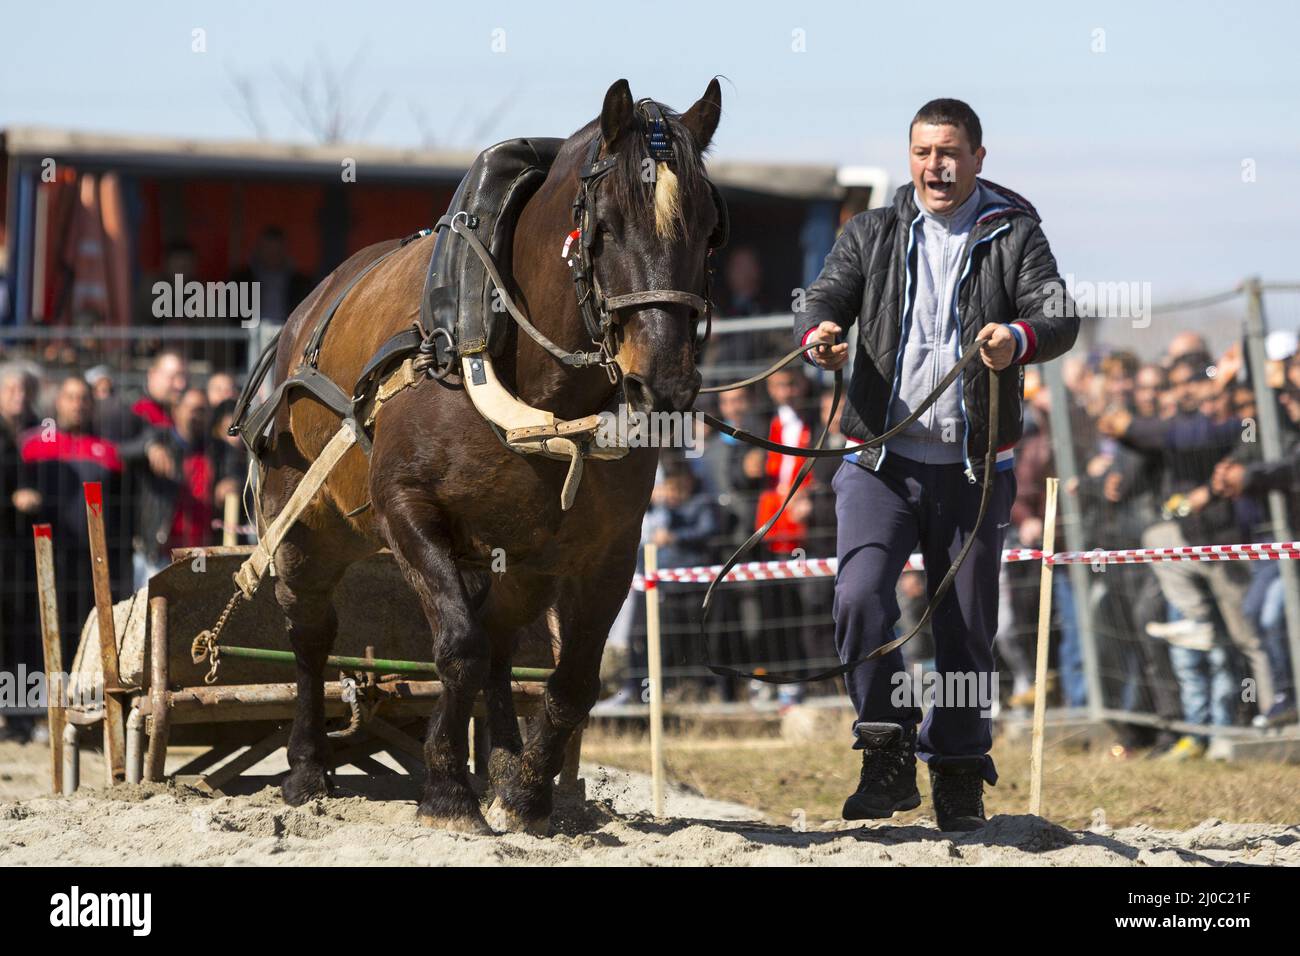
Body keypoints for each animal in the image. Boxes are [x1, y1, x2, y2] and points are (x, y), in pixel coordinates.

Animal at [257, 78, 724, 833]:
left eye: (711, 228)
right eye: (604, 224)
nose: (664, 387)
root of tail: (303, 317)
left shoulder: (608, 548)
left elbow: (570, 681)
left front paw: (528, 793)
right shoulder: (407, 511)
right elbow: (459, 648)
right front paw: (447, 791)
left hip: (522, 556)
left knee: (503, 635)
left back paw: (503, 766)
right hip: (304, 527)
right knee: (311, 633)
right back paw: (306, 769)